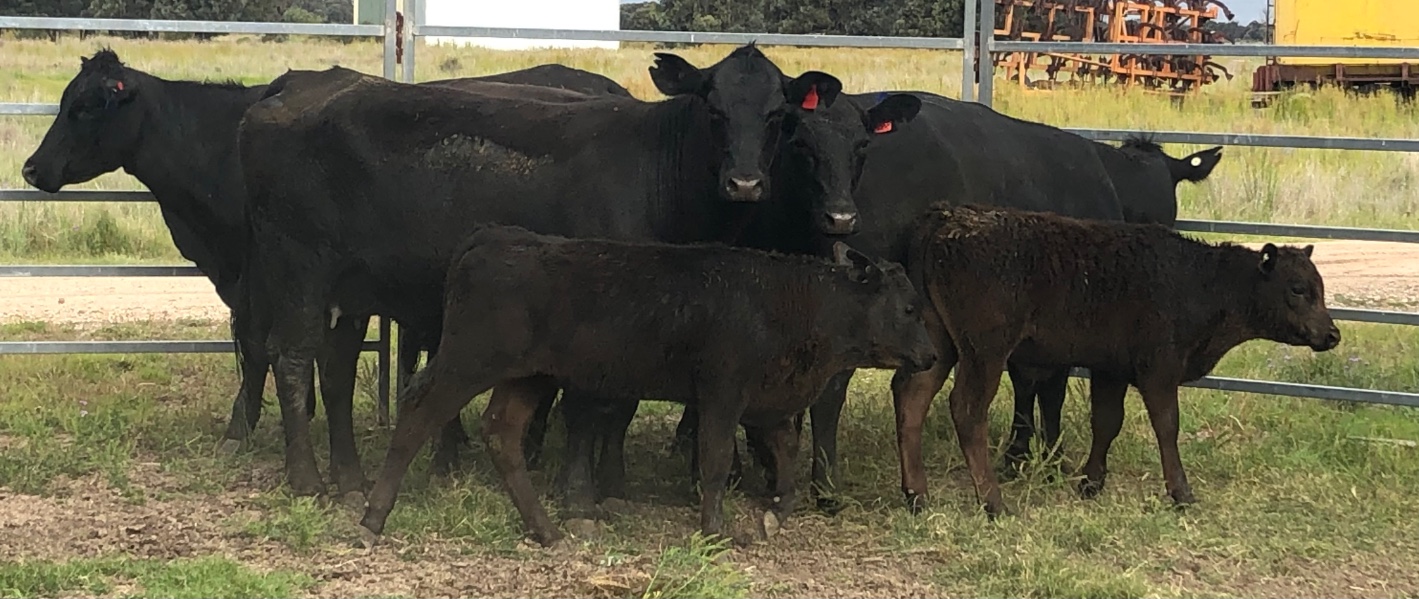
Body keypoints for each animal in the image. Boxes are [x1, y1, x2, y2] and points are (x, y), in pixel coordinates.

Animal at [234, 46, 917, 500]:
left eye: (778, 115)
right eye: (713, 107)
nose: (745, 182)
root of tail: (293, 90)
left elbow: (620, 403)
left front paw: (611, 485)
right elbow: (591, 402)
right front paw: (580, 492)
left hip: (349, 289)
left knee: (335, 367)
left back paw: (349, 477)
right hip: (298, 269)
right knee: (292, 359)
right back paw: (306, 478)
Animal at [356, 225, 938, 546]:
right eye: (910, 307)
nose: (931, 355)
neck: (789, 300)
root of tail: (498, 237)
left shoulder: (769, 403)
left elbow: (786, 457)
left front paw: (772, 515)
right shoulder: (722, 393)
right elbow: (715, 460)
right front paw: (717, 529)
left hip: (527, 377)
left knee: (502, 433)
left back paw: (548, 531)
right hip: (467, 362)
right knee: (418, 413)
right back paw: (372, 518)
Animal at [896, 204, 1340, 516]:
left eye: (1319, 286)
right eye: (1298, 288)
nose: (1332, 334)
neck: (1199, 282)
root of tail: (949, 217)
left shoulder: (1110, 368)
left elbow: (1106, 422)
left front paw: (1091, 483)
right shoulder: (1159, 368)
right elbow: (1167, 426)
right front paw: (1180, 492)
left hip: (938, 344)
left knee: (911, 397)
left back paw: (917, 495)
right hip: (985, 350)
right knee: (967, 409)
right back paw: (993, 501)